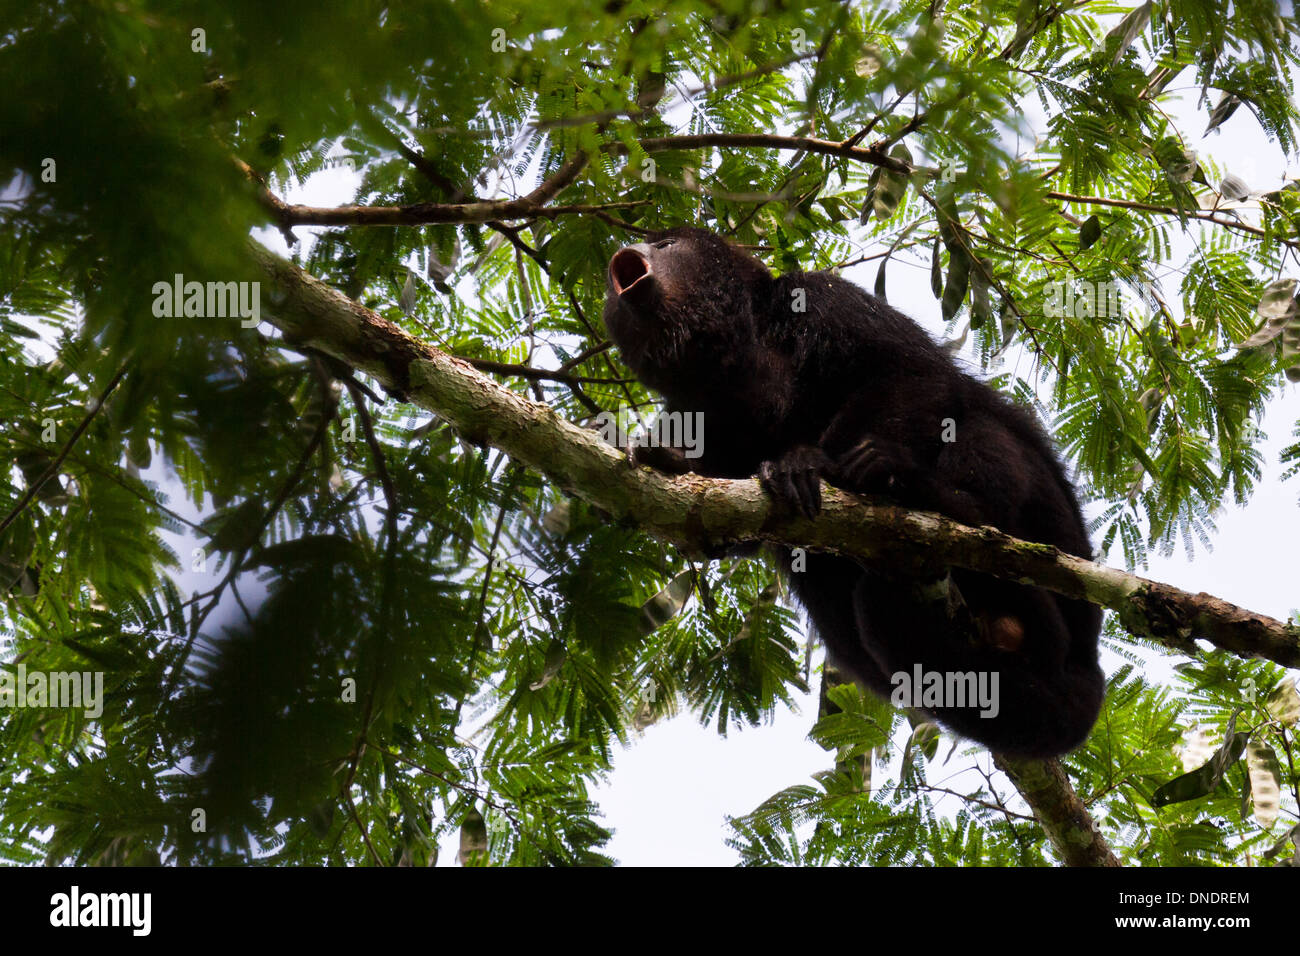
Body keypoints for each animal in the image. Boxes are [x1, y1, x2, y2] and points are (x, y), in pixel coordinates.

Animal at [602, 226, 1104, 758]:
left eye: (668, 245)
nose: (635, 250)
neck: (732, 358)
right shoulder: (688, 410)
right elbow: (726, 532)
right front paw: (671, 462)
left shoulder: (822, 297)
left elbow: (910, 373)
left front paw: (813, 463)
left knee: (980, 428)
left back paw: (943, 501)